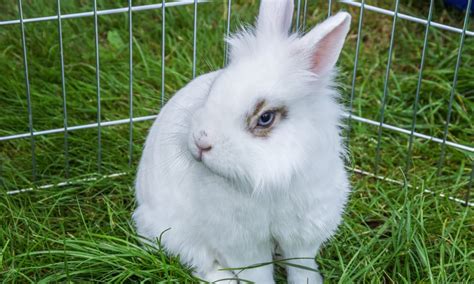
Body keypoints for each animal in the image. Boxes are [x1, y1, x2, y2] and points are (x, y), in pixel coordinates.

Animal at [131, 1, 350, 282]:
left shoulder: (304, 232)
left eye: (265, 118)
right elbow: (257, 273)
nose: (201, 142)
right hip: (172, 232)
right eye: (215, 86)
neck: (272, 179)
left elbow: (302, 266)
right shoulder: (242, 244)